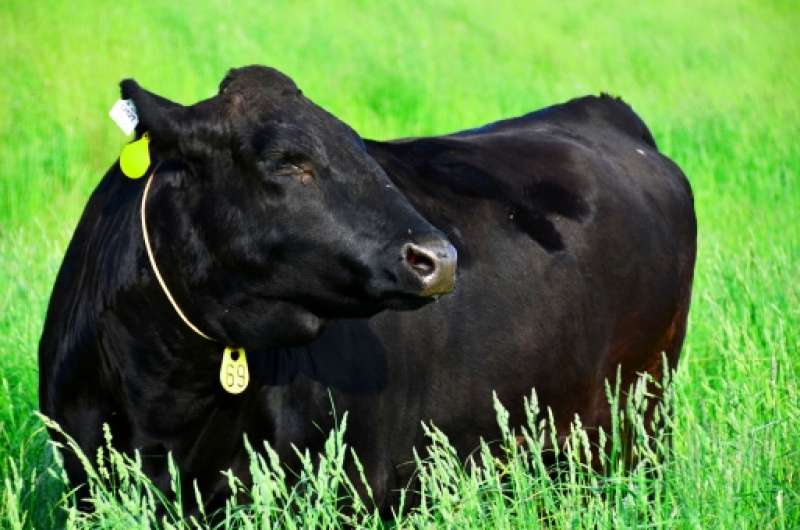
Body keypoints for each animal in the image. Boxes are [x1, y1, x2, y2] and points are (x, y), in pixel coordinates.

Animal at [39, 65, 696, 517]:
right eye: (288, 160)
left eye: (360, 148)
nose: (439, 259)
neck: (162, 394)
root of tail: (602, 111)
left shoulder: (352, 483)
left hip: (635, 420)